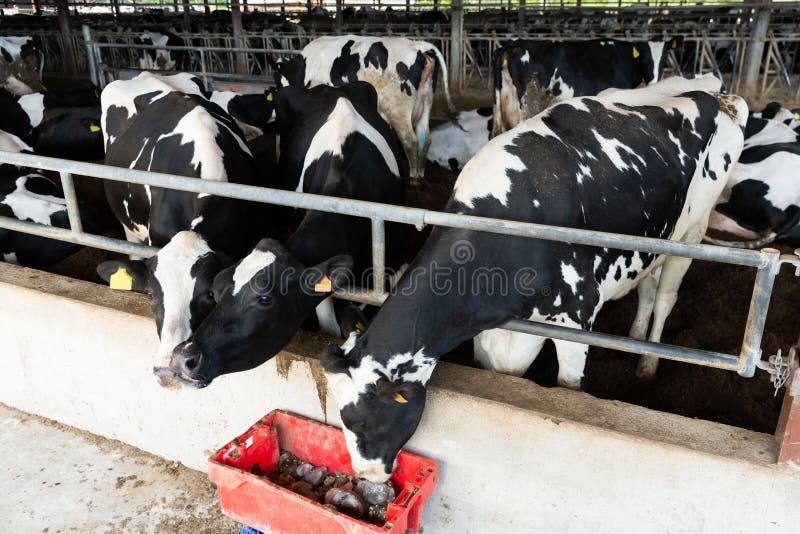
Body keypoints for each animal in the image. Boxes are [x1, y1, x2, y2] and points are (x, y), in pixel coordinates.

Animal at [275, 35, 455, 186]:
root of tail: (419, 46)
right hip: (426, 102)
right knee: (425, 138)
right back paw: (421, 173)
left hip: (398, 110)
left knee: (411, 141)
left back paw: (414, 177)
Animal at [321, 77, 747, 482]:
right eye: (341, 416)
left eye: (359, 419)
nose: (365, 475)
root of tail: (720, 95)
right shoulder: (493, 332)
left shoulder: (575, 322)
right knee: (646, 285)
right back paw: (637, 336)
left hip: (692, 233)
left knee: (665, 296)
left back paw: (648, 363)